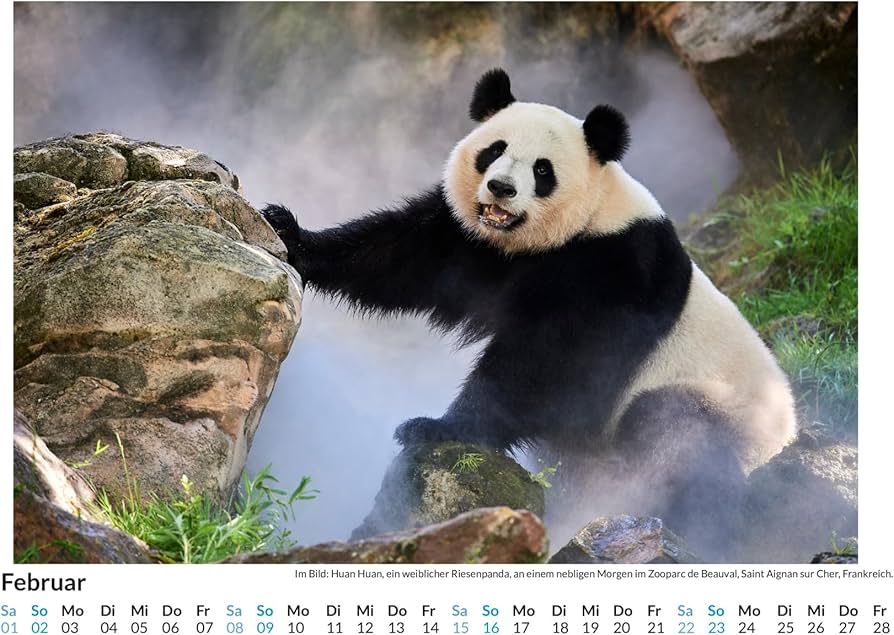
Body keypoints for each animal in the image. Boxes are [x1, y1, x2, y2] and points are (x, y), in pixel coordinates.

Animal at [263, 68, 797, 558]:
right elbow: (400, 259)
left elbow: (548, 366)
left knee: (676, 442)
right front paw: (290, 233)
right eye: (493, 150)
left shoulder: (615, 271)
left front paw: (439, 427)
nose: (500, 188)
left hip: (714, 404)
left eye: (543, 171)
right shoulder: (467, 240)